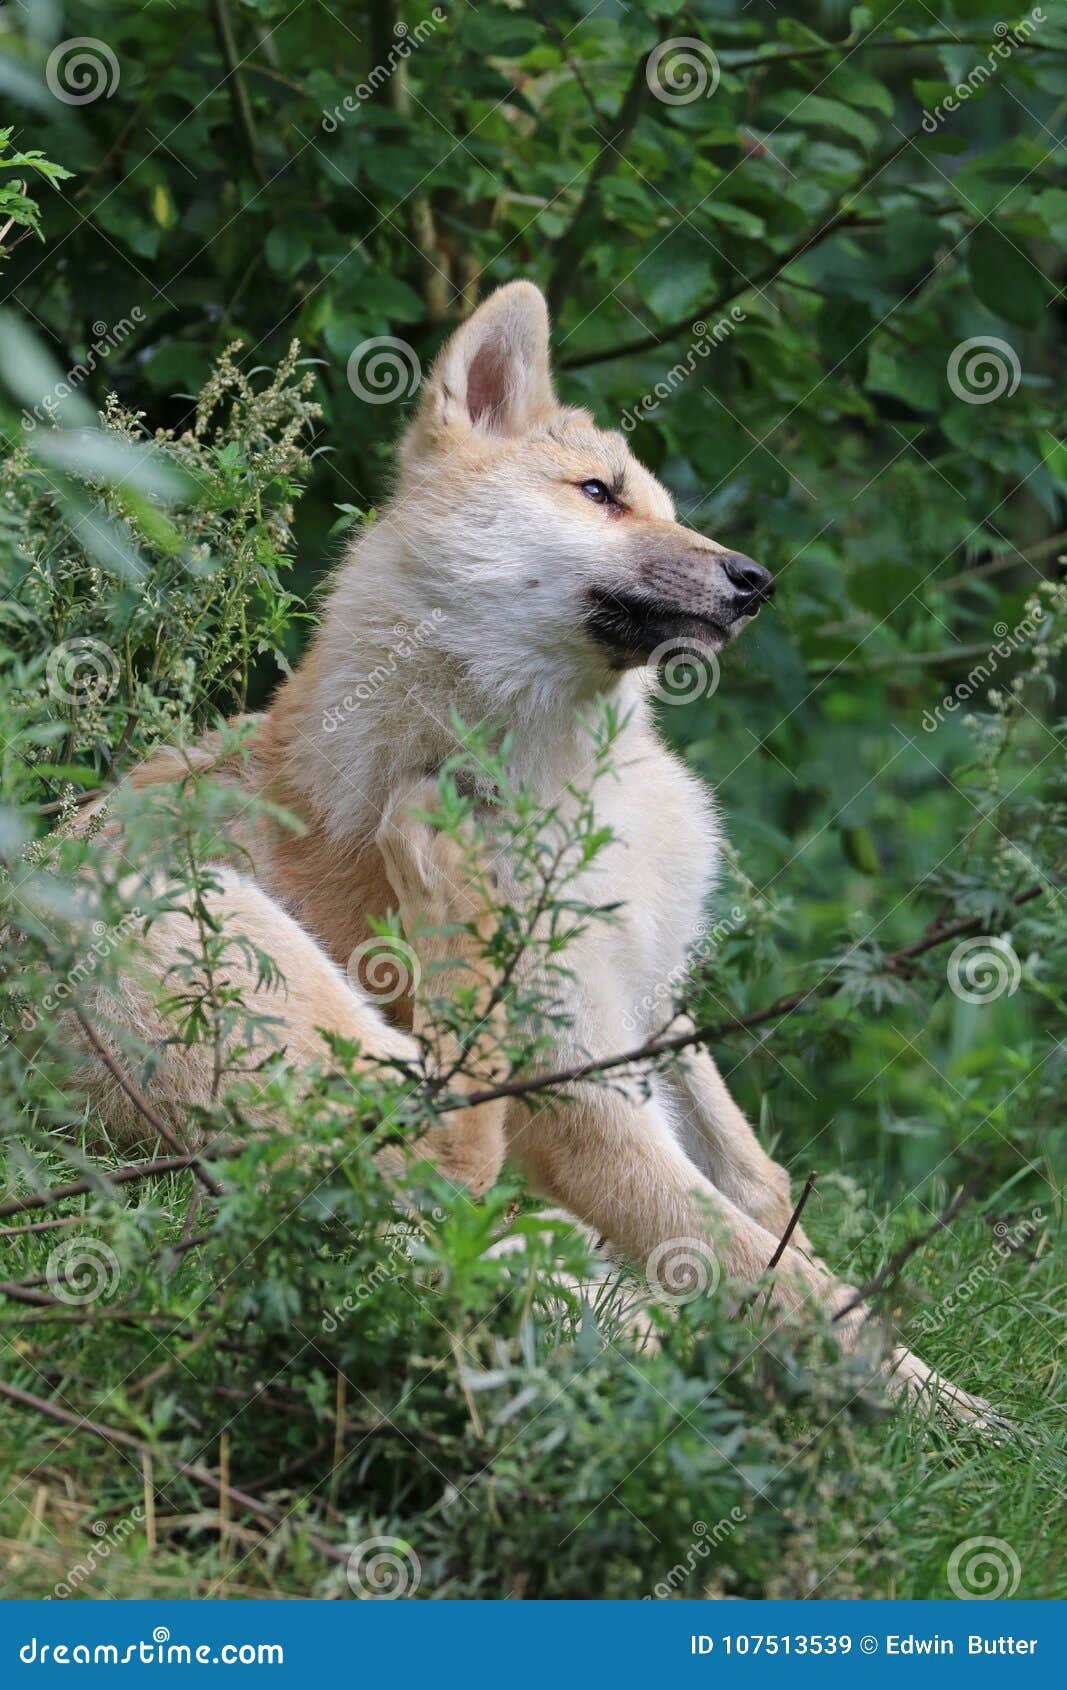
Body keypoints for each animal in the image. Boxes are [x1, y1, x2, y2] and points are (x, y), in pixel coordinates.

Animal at [80, 281, 992, 1421]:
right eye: (598, 494)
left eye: (660, 503)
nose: (754, 581)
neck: (569, 774)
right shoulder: (575, 1085)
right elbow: (768, 1274)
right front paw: (955, 1423)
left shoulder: (650, 1004)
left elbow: (760, 1187)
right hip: (211, 923)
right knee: (445, 1152)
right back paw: (433, 861)